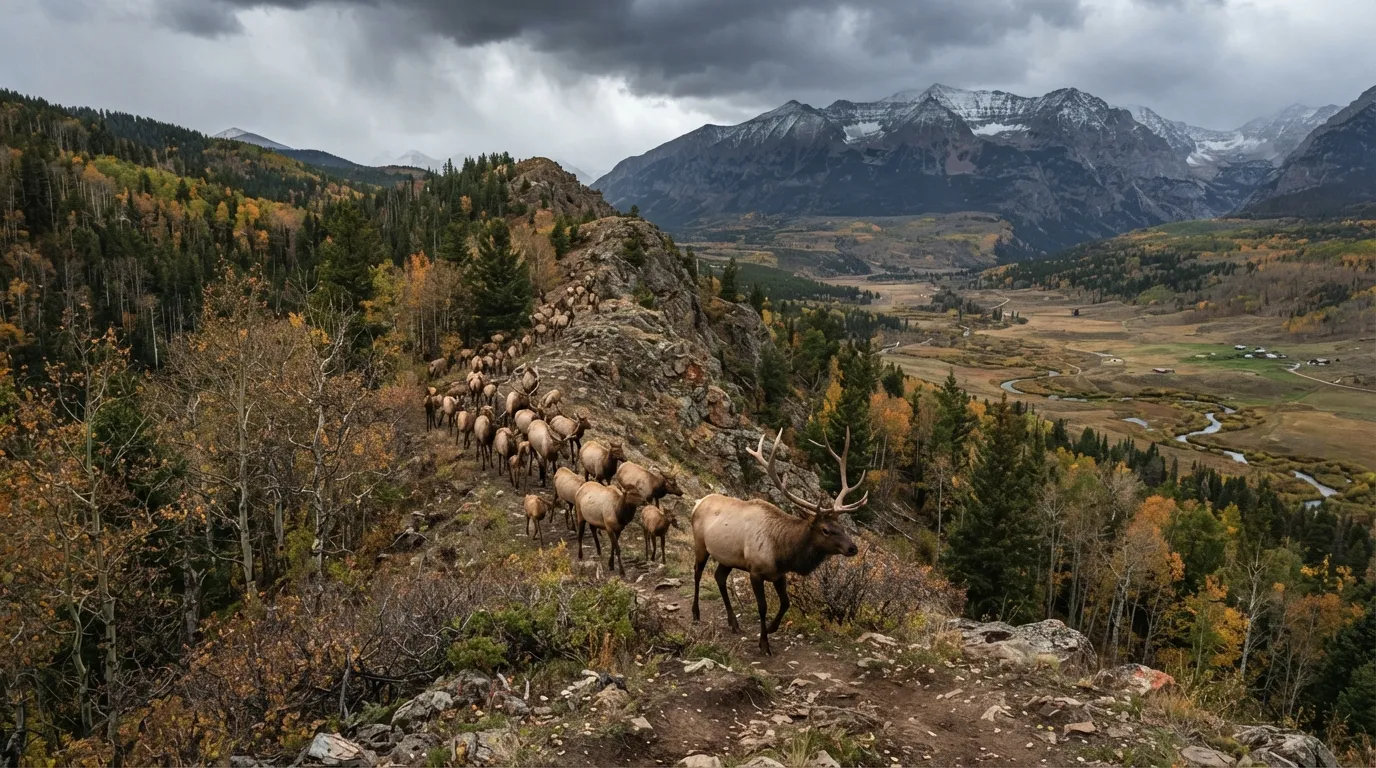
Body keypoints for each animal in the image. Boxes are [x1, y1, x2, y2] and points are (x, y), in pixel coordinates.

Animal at [691, 428, 867, 655]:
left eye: (843, 527)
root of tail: (698, 502)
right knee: (697, 573)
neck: (783, 552)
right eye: (826, 530)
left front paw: (771, 628)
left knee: (719, 577)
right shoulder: (756, 571)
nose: (852, 548)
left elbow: (786, 603)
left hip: (727, 558)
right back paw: (696, 614)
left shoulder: (779, 574)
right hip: (700, 545)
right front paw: (764, 643)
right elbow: (763, 607)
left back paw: (733, 623)